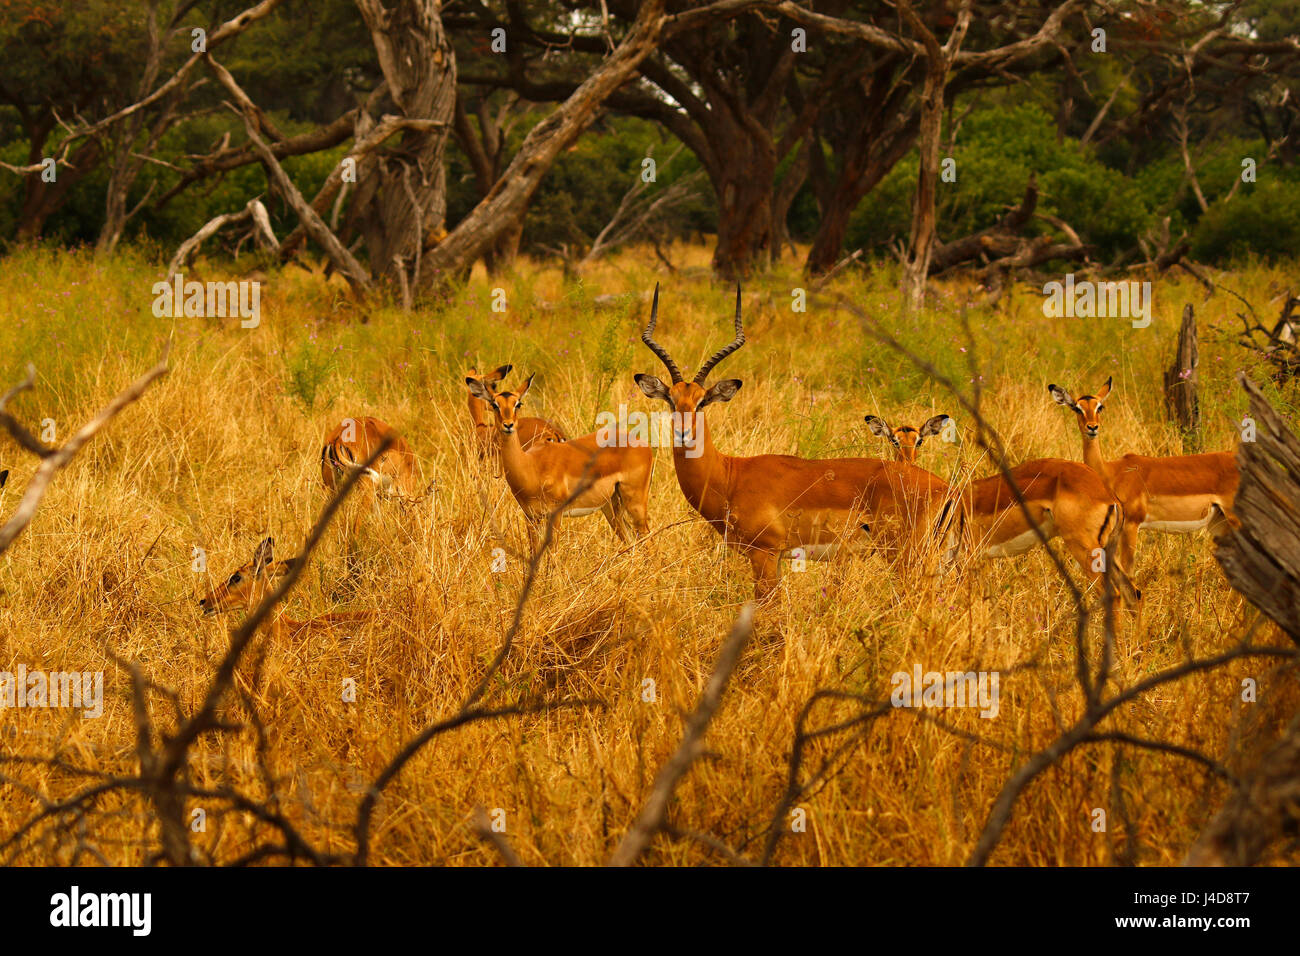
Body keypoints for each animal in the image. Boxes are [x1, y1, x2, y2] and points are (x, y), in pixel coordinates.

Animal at [465, 373, 652, 551]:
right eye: (495, 404)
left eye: (518, 404)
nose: (508, 425)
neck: (530, 467)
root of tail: (644, 444)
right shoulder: (530, 517)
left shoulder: (555, 515)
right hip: (612, 507)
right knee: (631, 540)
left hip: (635, 503)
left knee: (647, 539)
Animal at [634, 284, 949, 600]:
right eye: (671, 399)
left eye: (702, 402)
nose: (683, 432)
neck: (730, 476)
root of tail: (946, 488)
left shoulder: (764, 552)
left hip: (905, 554)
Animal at [867, 415, 1141, 605]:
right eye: (894, 440)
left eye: (919, 440)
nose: (907, 464)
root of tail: (1108, 496)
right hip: (1108, 550)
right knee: (1134, 593)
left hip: (1085, 550)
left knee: (1115, 595)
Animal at [1049, 377, 1239, 573]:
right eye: (1077, 408)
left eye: (1100, 407)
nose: (1092, 427)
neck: (1111, 472)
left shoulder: (1131, 525)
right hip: (1219, 523)